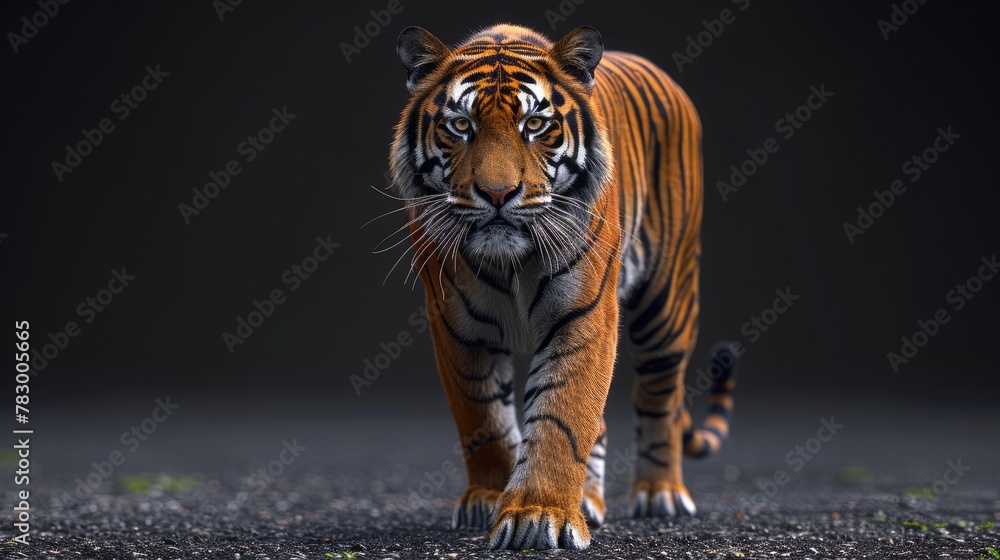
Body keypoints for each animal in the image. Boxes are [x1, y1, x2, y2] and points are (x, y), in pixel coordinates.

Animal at [387, 23, 737, 550]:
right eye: (461, 125)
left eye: (534, 124)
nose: (497, 193)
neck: (510, 263)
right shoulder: (455, 324)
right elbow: (484, 419)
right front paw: (490, 498)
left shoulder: (585, 314)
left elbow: (562, 417)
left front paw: (538, 514)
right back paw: (588, 500)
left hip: (667, 305)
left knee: (659, 399)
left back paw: (661, 493)